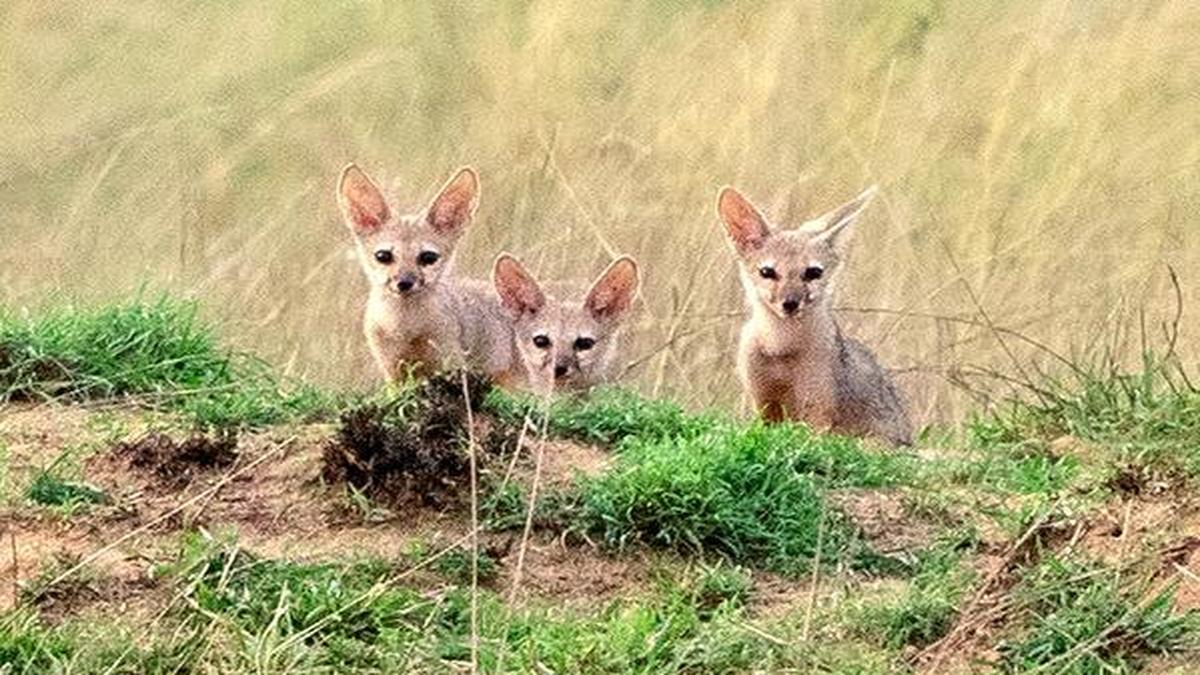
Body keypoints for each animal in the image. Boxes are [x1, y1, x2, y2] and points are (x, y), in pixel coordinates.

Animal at [337, 164, 519, 384]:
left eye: (428, 257)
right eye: (383, 256)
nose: (404, 282)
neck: (405, 328)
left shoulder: (450, 364)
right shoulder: (393, 372)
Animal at [716, 184, 912, 446]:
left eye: (813, 273)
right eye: (767, 272)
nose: (790, 303)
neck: (781, 348)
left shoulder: (819, 411)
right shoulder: (765, 404)